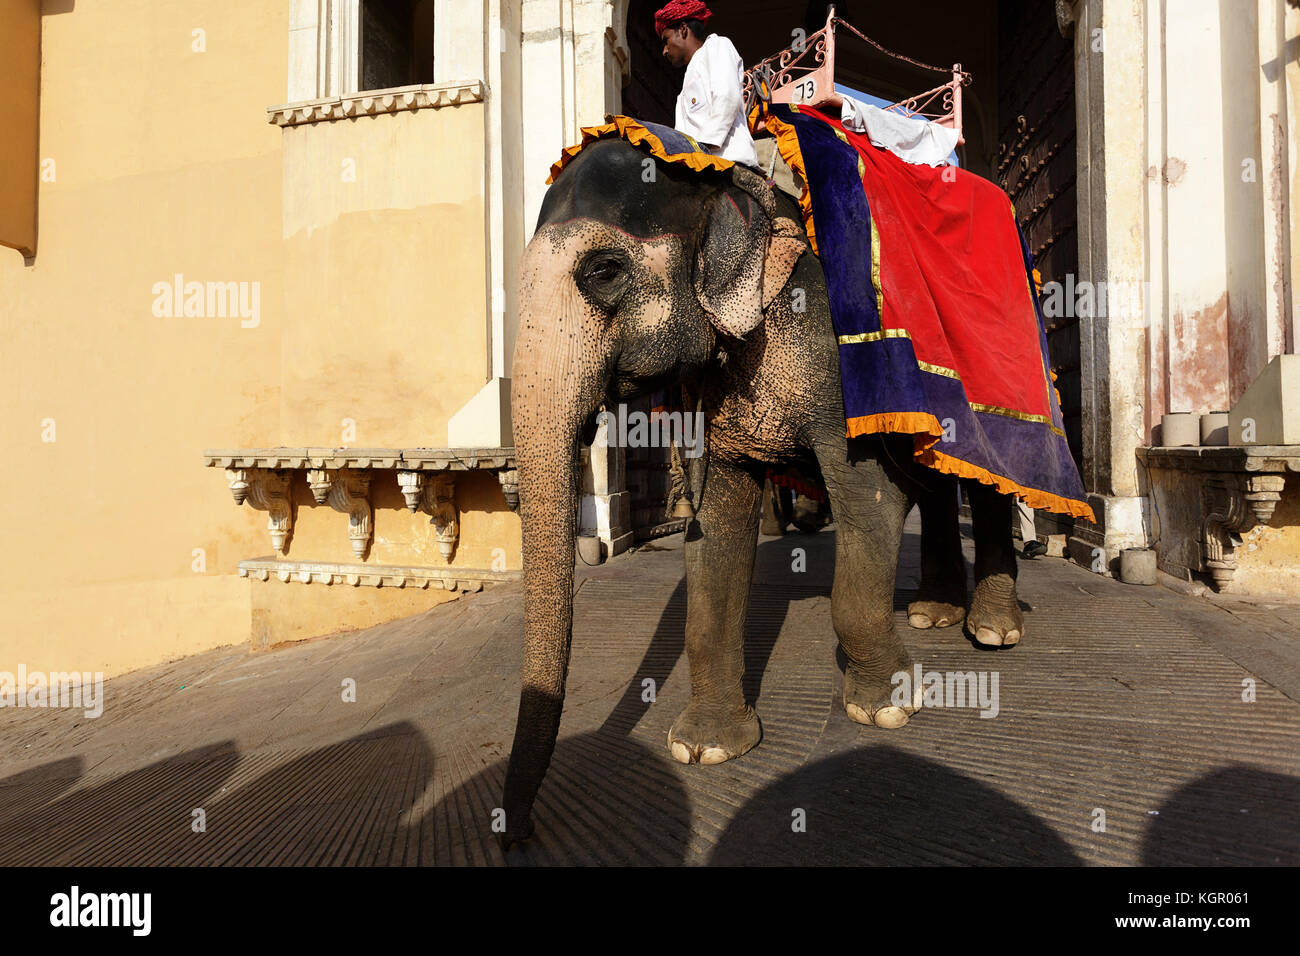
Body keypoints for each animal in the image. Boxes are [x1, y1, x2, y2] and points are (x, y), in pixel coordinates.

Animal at [500, 136, 1025, 846]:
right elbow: (716, 525)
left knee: (987, 477)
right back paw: (932, 613)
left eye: (604, 270)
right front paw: (705, 748)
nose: (516, 833)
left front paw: (887, 709)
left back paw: (992, 631)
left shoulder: (831, 346)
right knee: (939, 481)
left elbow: (868, 497)